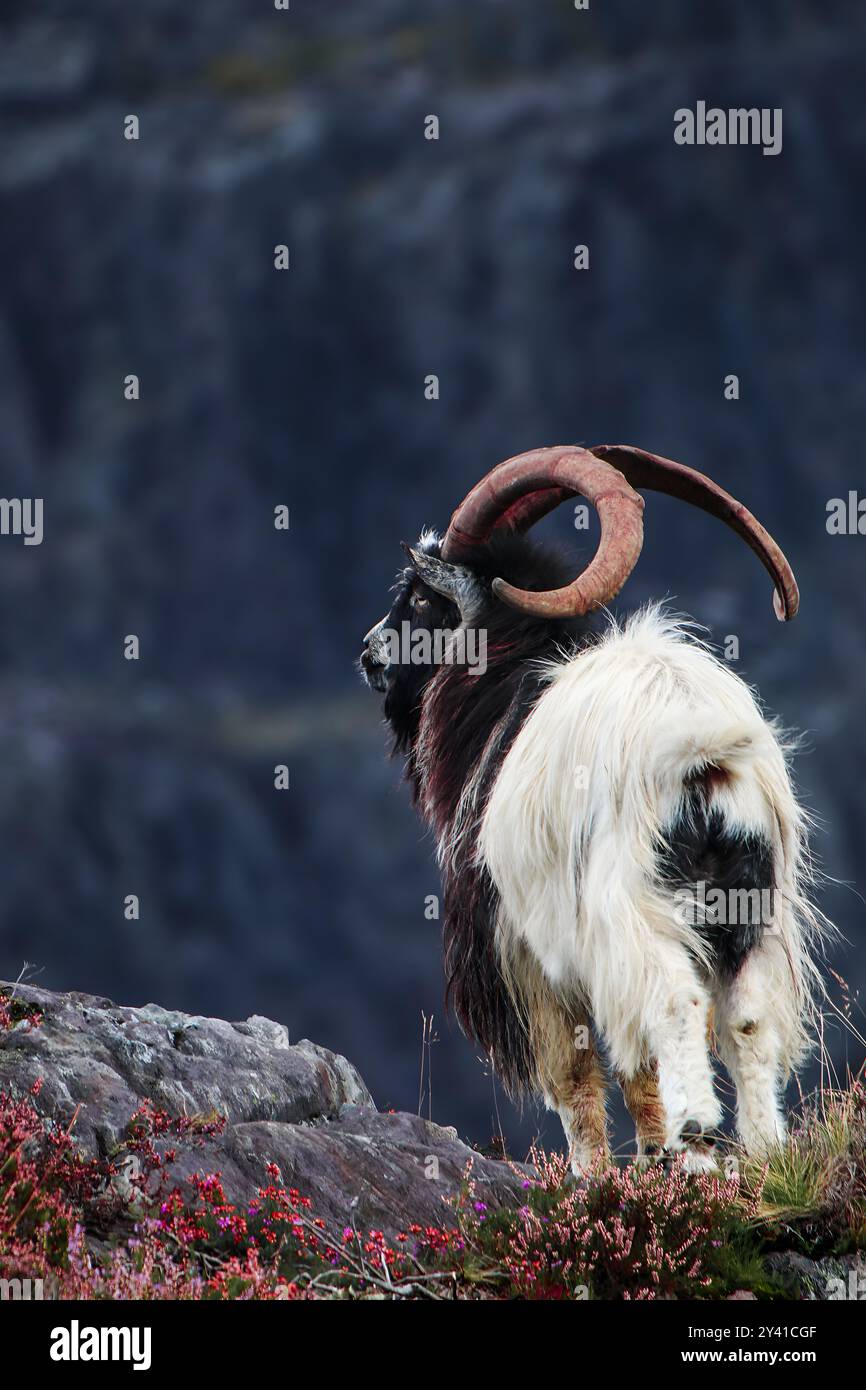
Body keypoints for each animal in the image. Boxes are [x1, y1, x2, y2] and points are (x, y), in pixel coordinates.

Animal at [359, 444, 824, 1172]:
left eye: (420, 596)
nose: (369, 656)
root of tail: (699, 748)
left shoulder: (527, 952)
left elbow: (575, 1079)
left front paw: (595, 1177)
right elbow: (637, 1076)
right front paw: (649, 1161)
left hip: (632, 907)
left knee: (676, 1001)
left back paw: (697, 1136)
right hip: (752, 911)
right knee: (746, 1020)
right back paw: (762, 1153)